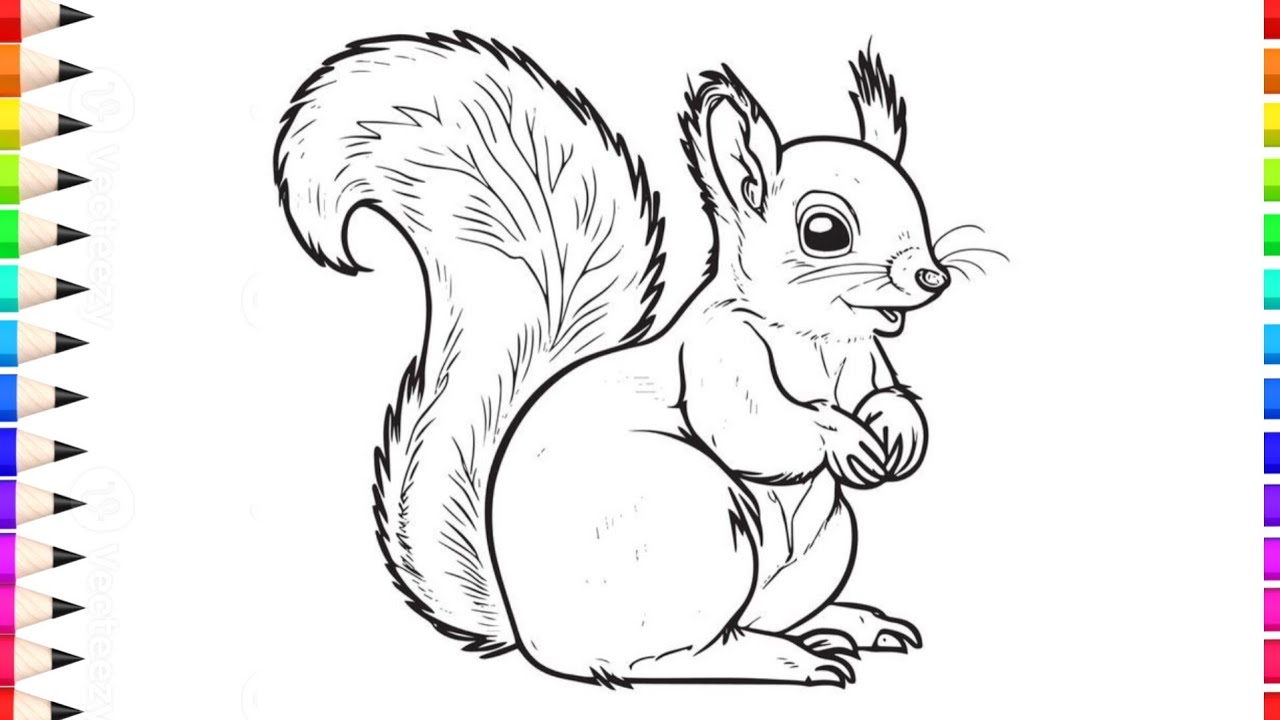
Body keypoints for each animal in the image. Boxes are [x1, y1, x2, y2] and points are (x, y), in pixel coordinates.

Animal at [274, 31, 954, 687]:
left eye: (918, 205)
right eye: (824, 232)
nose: (933, 277)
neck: (814, 340)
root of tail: (528, 633)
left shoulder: (864, 359)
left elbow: (881, 394)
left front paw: (899, 430)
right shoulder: (717, 351)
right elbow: (751, 427)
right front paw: (844, 437)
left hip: (826, 545)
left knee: (762, 617)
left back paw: (843, 624)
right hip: (694, 525)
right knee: (660, 659)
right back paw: (783, 660)